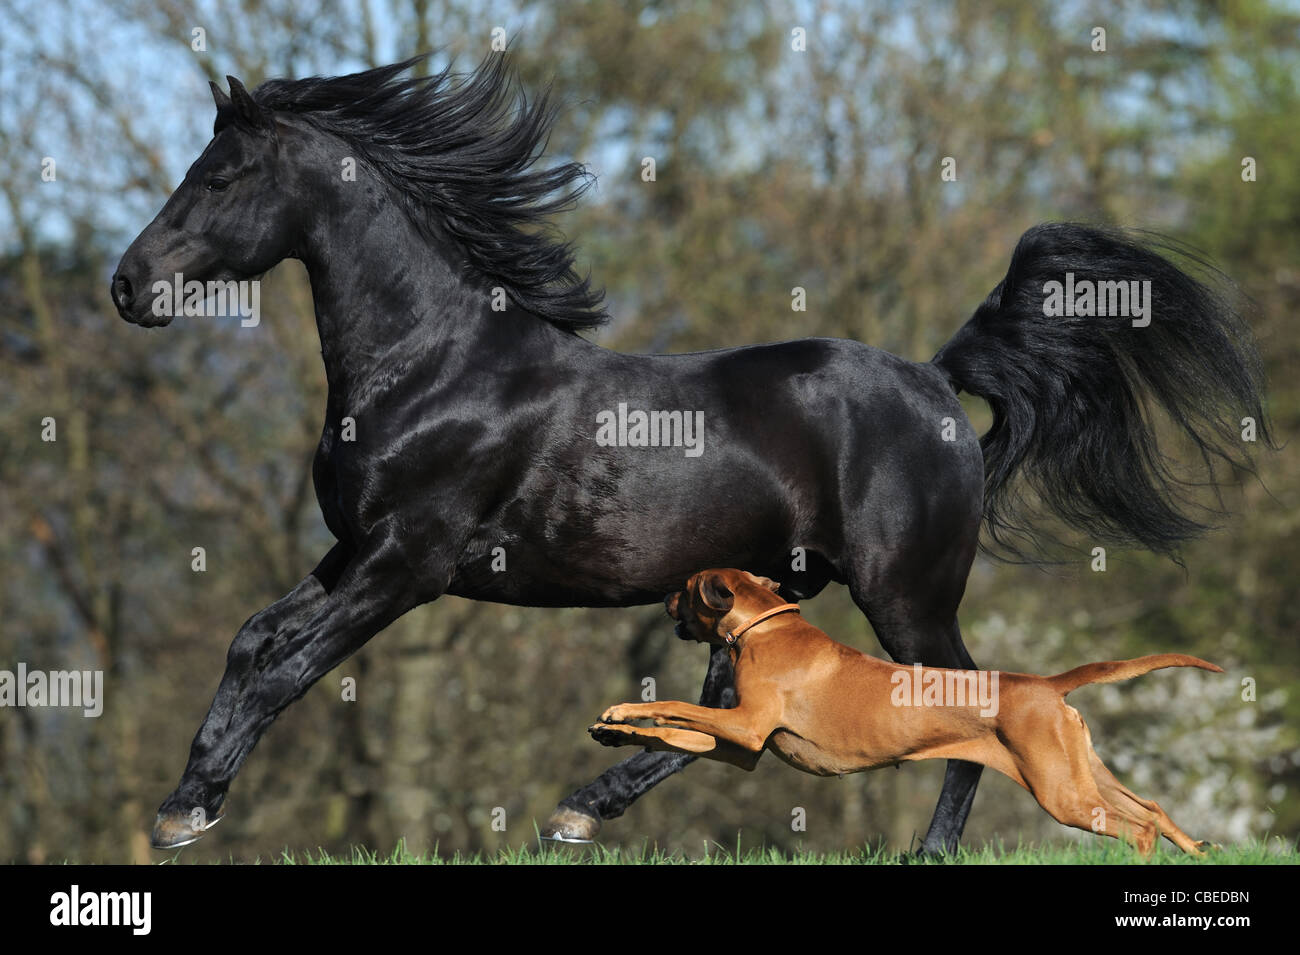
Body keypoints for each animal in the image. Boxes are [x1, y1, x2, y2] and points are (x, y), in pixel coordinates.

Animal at [110, 55, 1268, 853]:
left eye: (222, 176)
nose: (129, 285)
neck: (436, 366)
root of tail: (940, 384)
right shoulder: (354, 552)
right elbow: (252, 642)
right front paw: (182, 802)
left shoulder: (409, 563)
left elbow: (287, 665)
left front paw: (188, 812)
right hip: (768, 584)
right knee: (726, 714)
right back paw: (581, 808)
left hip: (904, 592)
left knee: (959, 699)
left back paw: (925, 850)